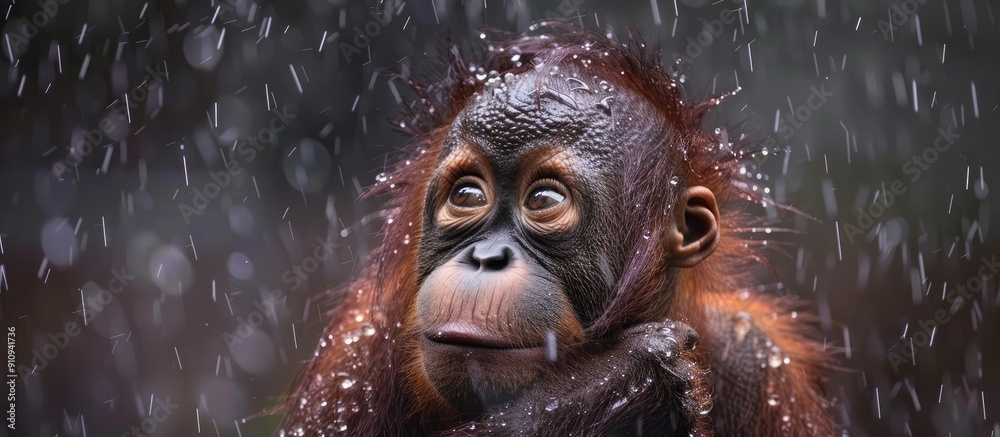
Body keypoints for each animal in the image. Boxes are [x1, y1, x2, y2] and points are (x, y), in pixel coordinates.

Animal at [278, 22, 833, 436]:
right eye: (467, 196)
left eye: (543, 200)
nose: (486, 257)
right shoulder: (354, 356)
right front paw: (635, 379)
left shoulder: (757, 361)